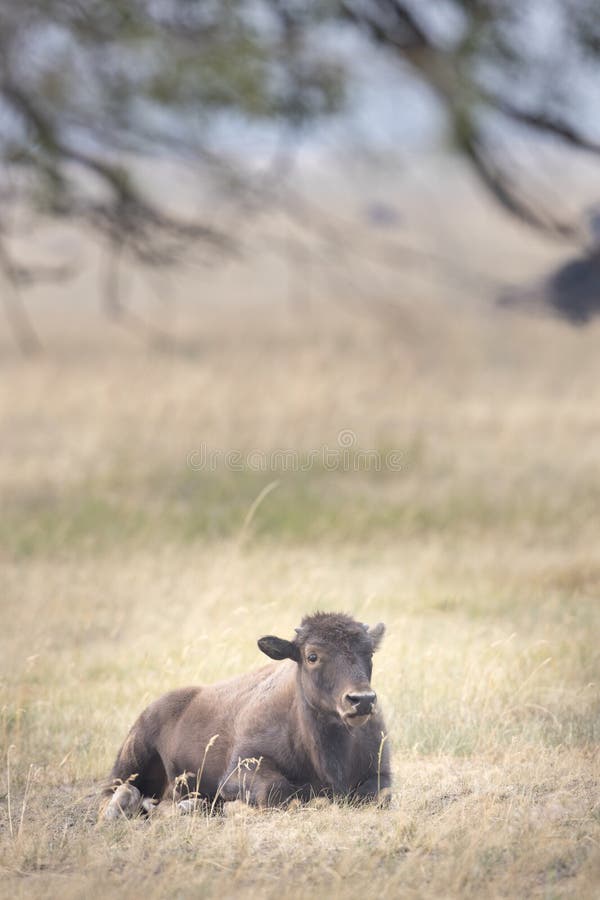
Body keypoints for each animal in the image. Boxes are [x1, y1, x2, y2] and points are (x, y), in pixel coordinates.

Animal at [102, 612, 391, 817]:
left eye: (369, 653)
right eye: (312, 656)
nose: (362, 700)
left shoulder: (380, 772)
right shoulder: (240, 769)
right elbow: (276, 791)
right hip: (132, 758)